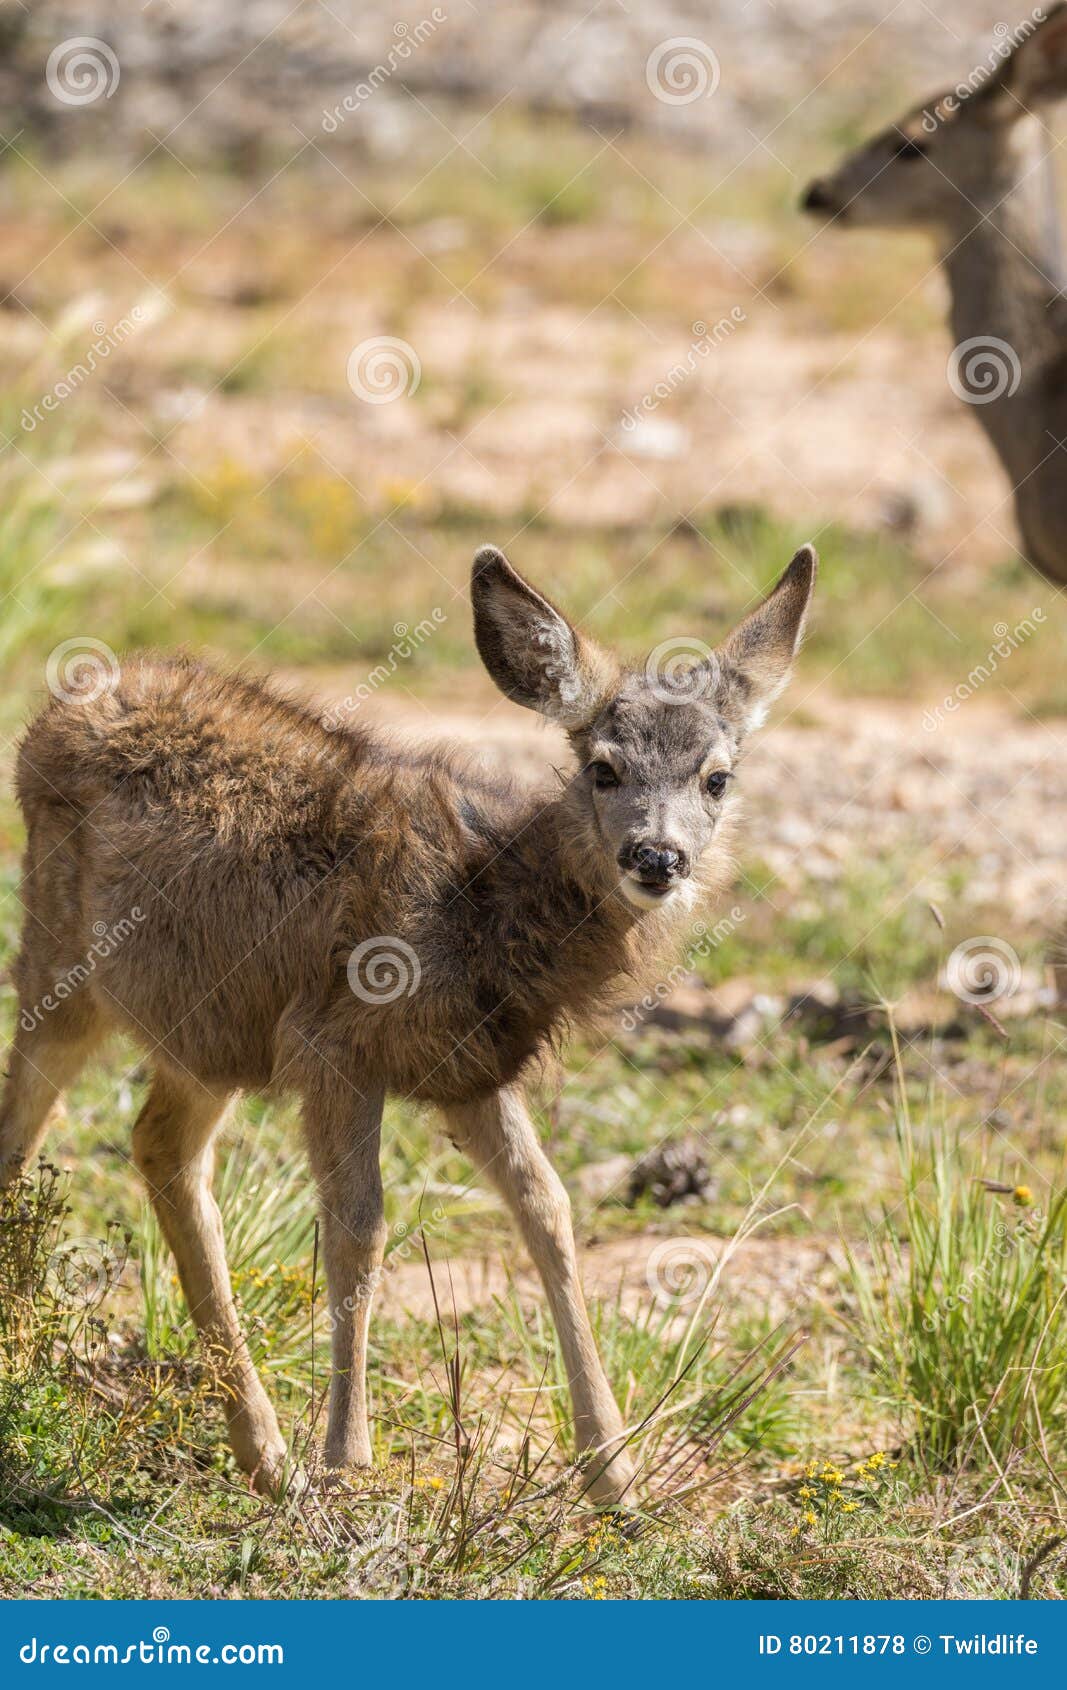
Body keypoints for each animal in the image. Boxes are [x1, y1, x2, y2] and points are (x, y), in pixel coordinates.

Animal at [0, 541, 816, 1506]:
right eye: (603, 768)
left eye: (716, 777)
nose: (656, 856)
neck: (480, 906)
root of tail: (57, 711)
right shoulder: (334, 1044)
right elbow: (359, 1228)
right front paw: (348, 1455)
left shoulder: (471, 1069)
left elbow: (548, 1209)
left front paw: (613, 1471)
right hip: (60, 962)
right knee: (23, 1128)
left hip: (208, 1028)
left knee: (161, 1148)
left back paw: (262, 1454)